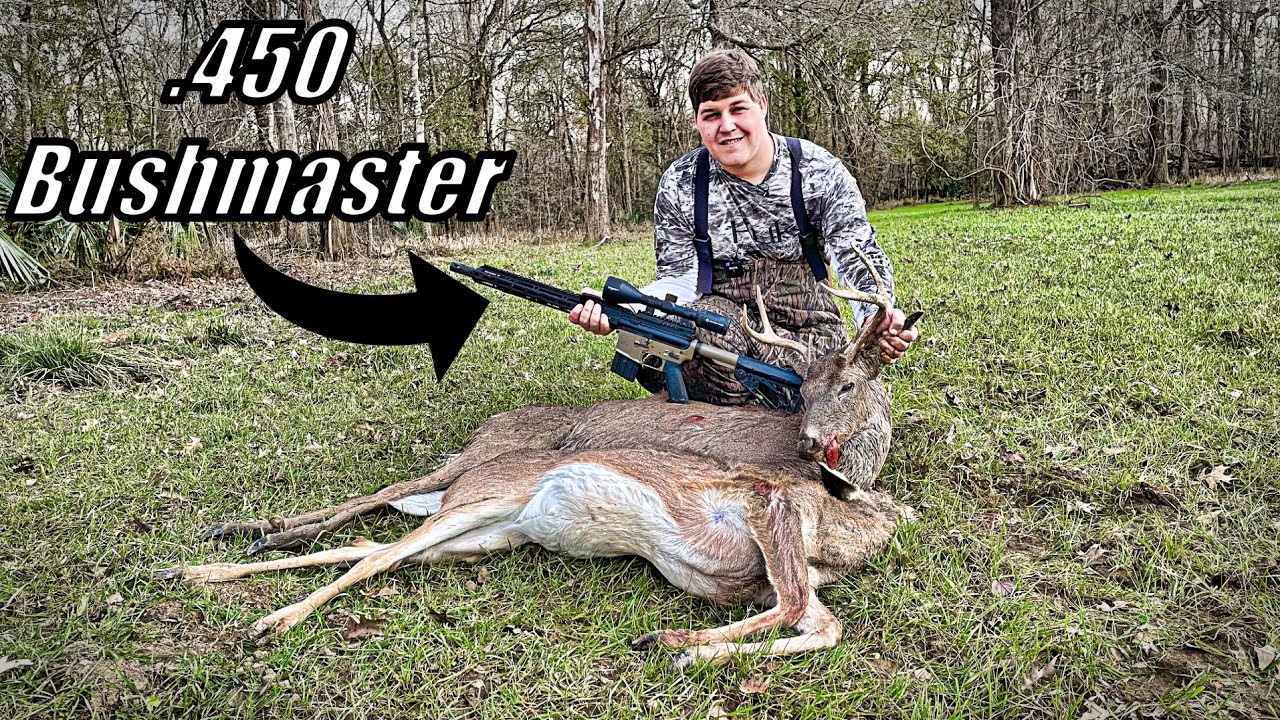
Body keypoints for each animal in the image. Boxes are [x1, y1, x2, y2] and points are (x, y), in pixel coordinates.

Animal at [160, 250, 917, 668]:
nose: (810, 443)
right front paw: (668, 640)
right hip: (482, 493)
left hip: (484, 531)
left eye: (848, 386)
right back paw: (254, 587)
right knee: (376, 530)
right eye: (809, 390)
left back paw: (204, 568)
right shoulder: (768, 502)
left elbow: (816, 619)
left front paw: (677, 646)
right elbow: (796, 606)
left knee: (376, 545)